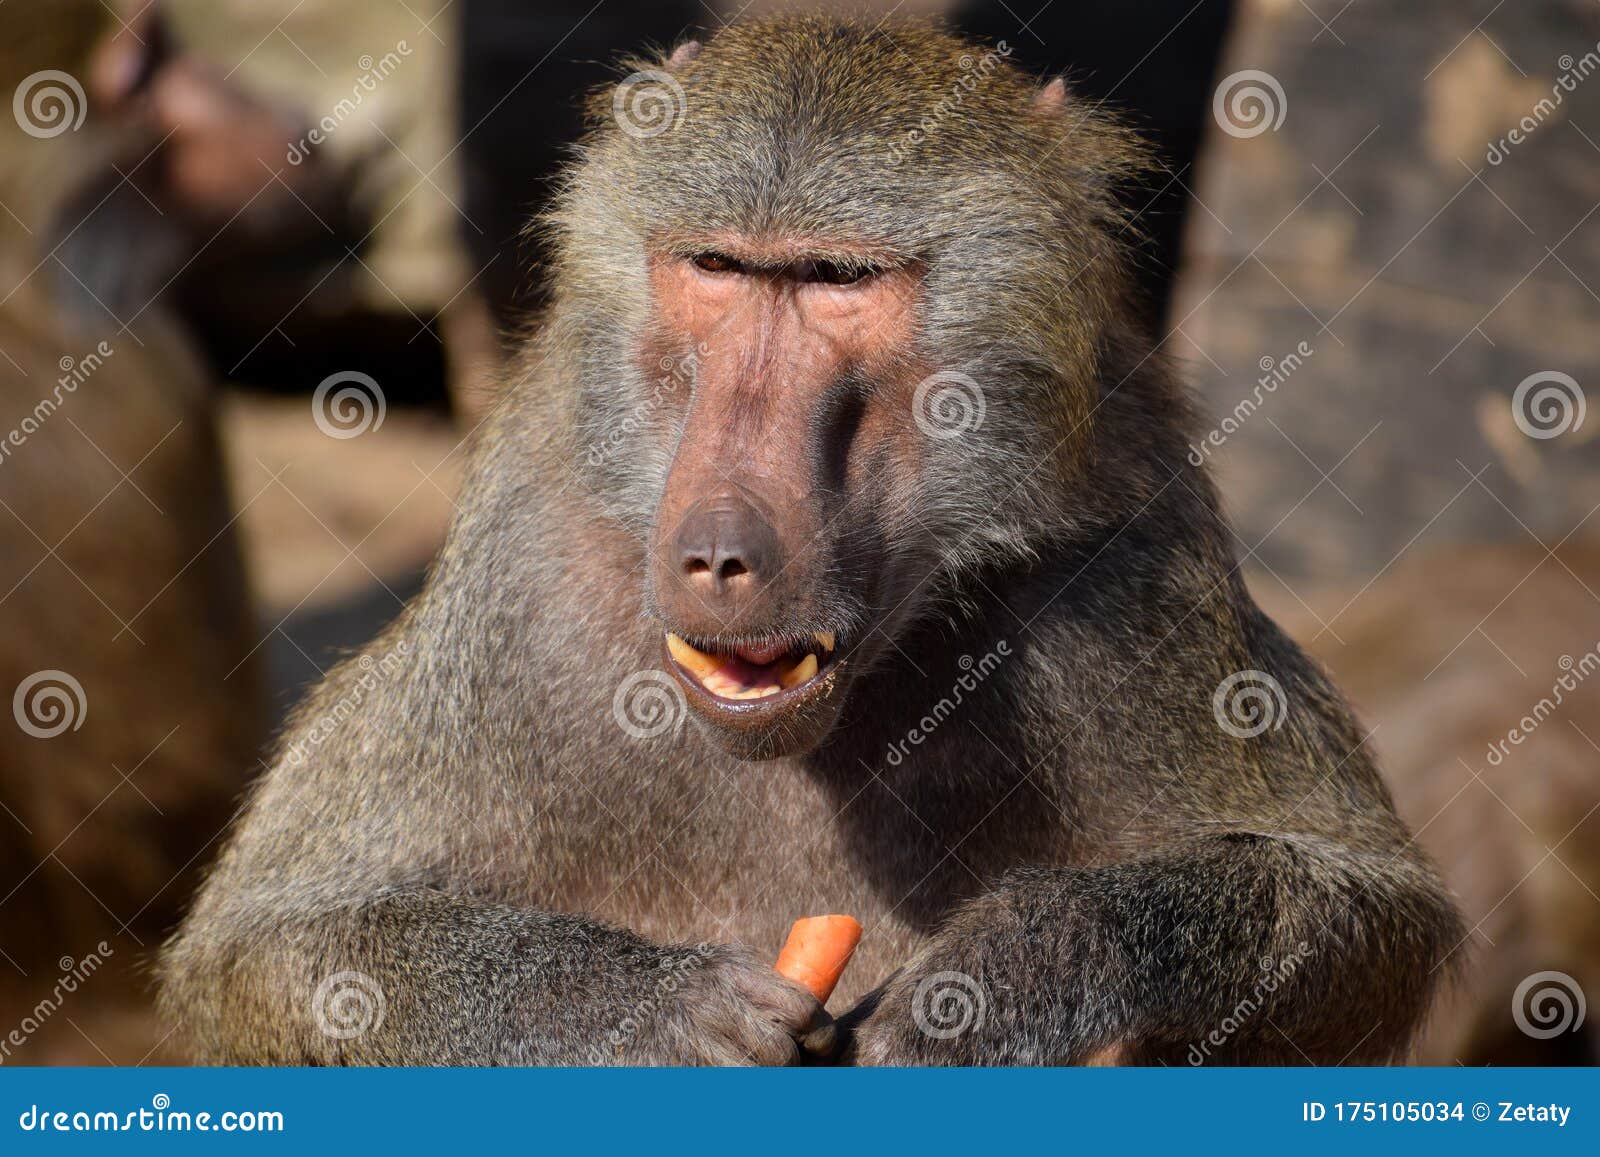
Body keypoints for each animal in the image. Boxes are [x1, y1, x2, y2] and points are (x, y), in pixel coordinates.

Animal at [161, 14, 1463, 1066]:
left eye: (835, 277)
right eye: (718, 266)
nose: (717, 556)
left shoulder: (1138, 565)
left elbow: (1368, 909)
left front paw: (1005, 976)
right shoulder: (512, 587)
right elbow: (266, 952)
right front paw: (659, 1013)